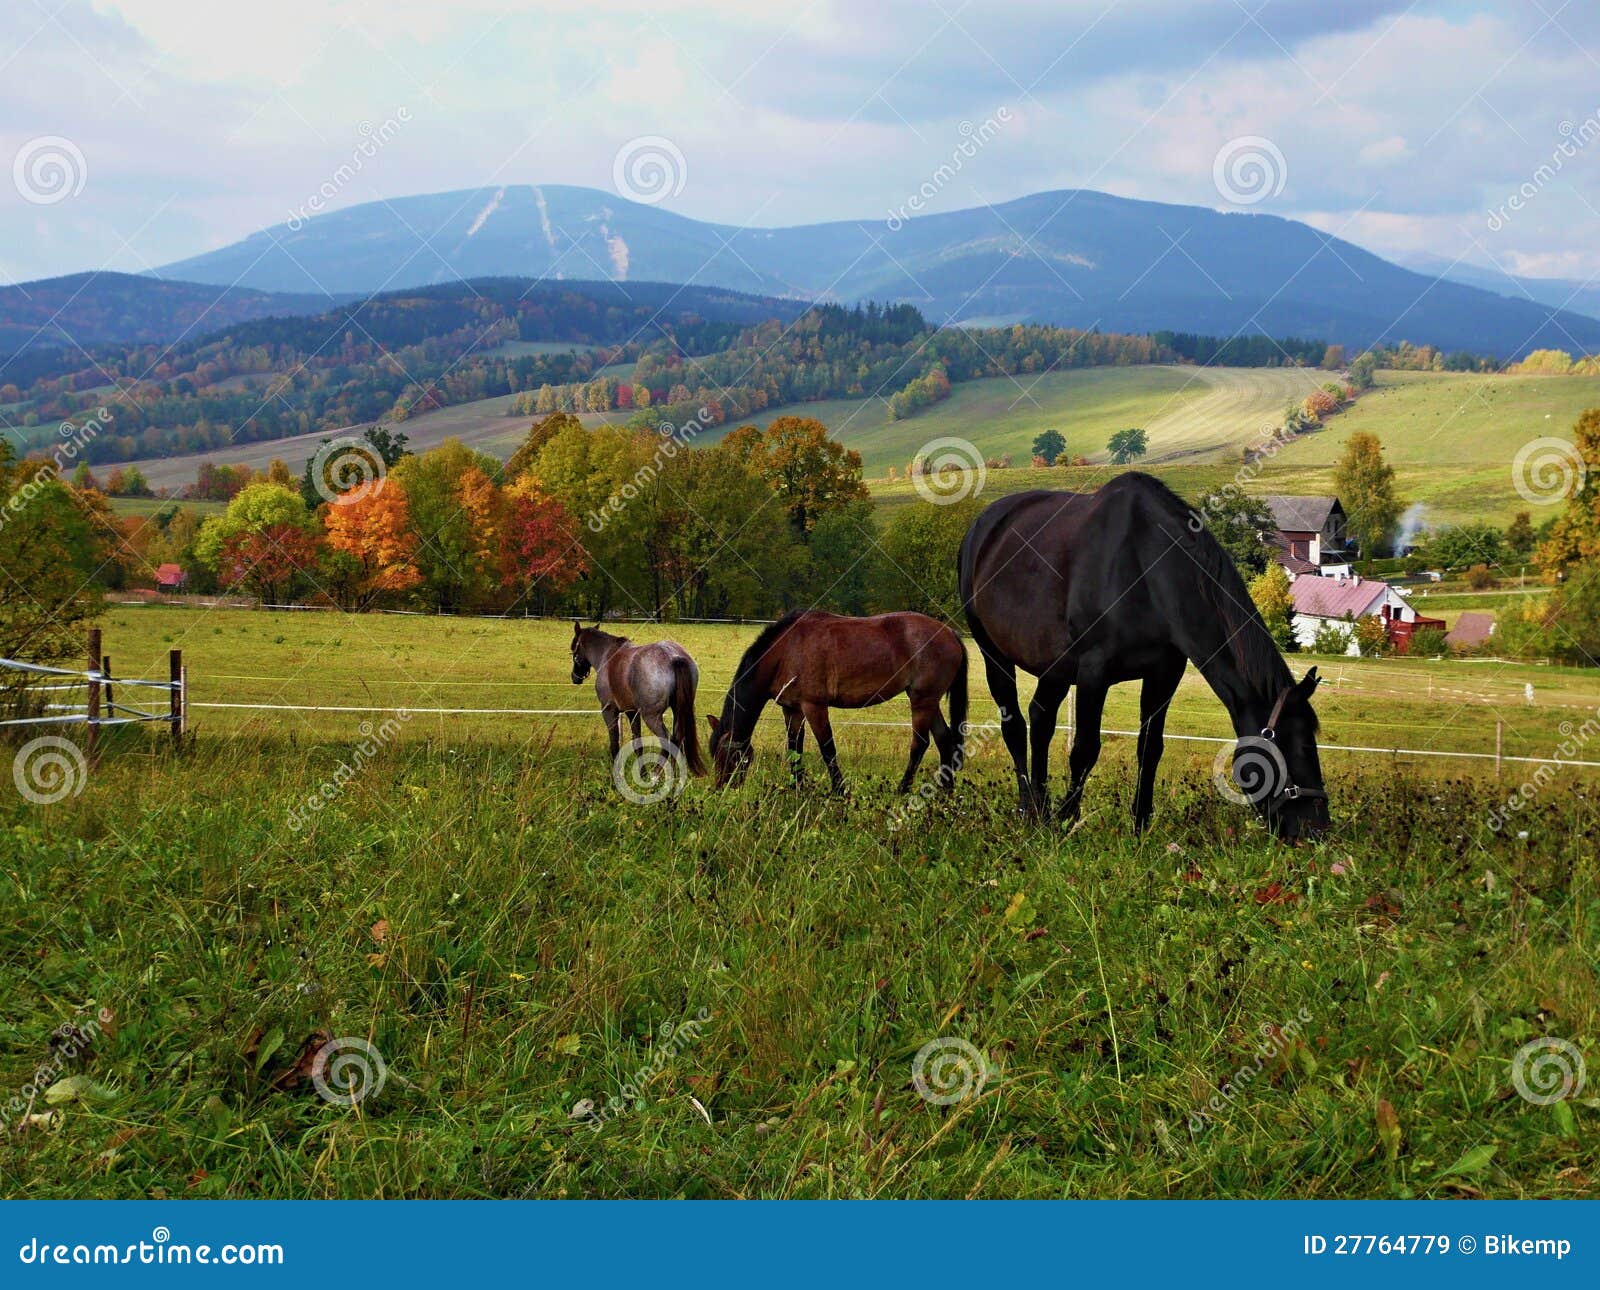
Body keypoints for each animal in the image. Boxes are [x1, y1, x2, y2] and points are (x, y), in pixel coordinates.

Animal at [570, 623, 705, 777]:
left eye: (574, 648)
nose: (575, 677)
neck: (608, 656)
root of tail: (673, 656)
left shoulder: (609, 711)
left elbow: (614, 743)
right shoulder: (632, 712)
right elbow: (637, 744)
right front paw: (642, 772)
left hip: (651, 717)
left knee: (668, 740)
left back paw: (656, 773)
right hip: (678, 711)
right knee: (678, 739)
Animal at [706, 609, 968, 795]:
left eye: (729, 756)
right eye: (714, 755)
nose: (721, 789)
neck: (786, 650)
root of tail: (951, 633)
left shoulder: (814, 706)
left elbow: (827, 749)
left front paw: (839, 790)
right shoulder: (792, 710)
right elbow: (794, 749)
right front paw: (797, 787)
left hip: (922, 700)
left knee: (920, 744)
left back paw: (902, 789)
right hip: (929, 701)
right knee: (944, 739)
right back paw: (945, 790)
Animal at [958, 473, 1328, 841]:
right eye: (1298, 747)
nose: (1315, 829)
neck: (1146, 568)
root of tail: (982, 525)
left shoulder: (1164, 673)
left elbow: (1150, 748)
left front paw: (1139, 826)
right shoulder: (1094, 672)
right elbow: (1085, 748)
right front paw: (1068, 820)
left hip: (1055, 669)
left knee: (1041, 720)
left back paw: (1041, 807)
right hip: (993, 653)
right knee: (1015, 726)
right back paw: (1028, 809)